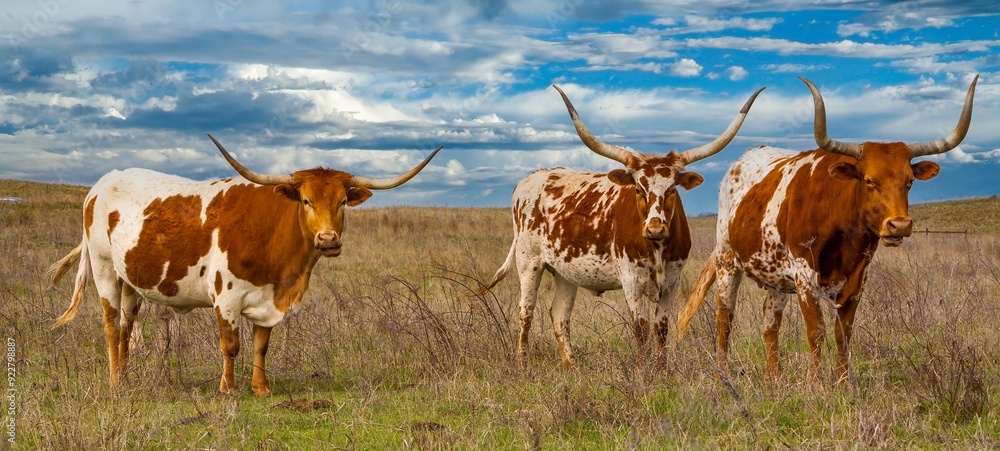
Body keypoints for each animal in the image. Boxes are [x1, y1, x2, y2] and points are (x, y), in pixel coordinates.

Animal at [47, 135, 443, 396]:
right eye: (305, 200)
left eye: (343, 201)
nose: (328, 239)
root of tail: (101, 183)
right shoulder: (226, 297)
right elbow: (231, 345)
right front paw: (228, 389)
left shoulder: (269, 300)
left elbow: (260, 345)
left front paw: (260, 389)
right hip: (104, 270)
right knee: (110, 325)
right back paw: (116, 383)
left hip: (132, 280)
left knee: (127, 326)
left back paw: (127, 379)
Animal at [477, 85, 764, 369]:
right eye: (638, 189)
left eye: (672, 189)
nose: (655, 229)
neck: (657, 249)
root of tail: (531, 178)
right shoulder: (630, 280)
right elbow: (641, 329)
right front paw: (642, 372)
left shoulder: (672, 281)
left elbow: (661, 329)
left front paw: (662, 371)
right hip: (529, 262)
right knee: (525, 312)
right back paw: (522, 364)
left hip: (564, 271)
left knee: (559, 314)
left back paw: (572, 367)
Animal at [677, 76, 977, 384]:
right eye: (868, 180)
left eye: (910, 182)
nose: (900, 225)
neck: (842, 237)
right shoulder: (804, 277)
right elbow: (816, 331)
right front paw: (814, 384)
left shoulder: (858, 279)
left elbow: (843, 334)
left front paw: (844, 384)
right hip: (728, 261)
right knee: (725, 317)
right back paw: (722, 374)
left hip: (775, 277)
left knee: (770, 324)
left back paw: (776, 378)